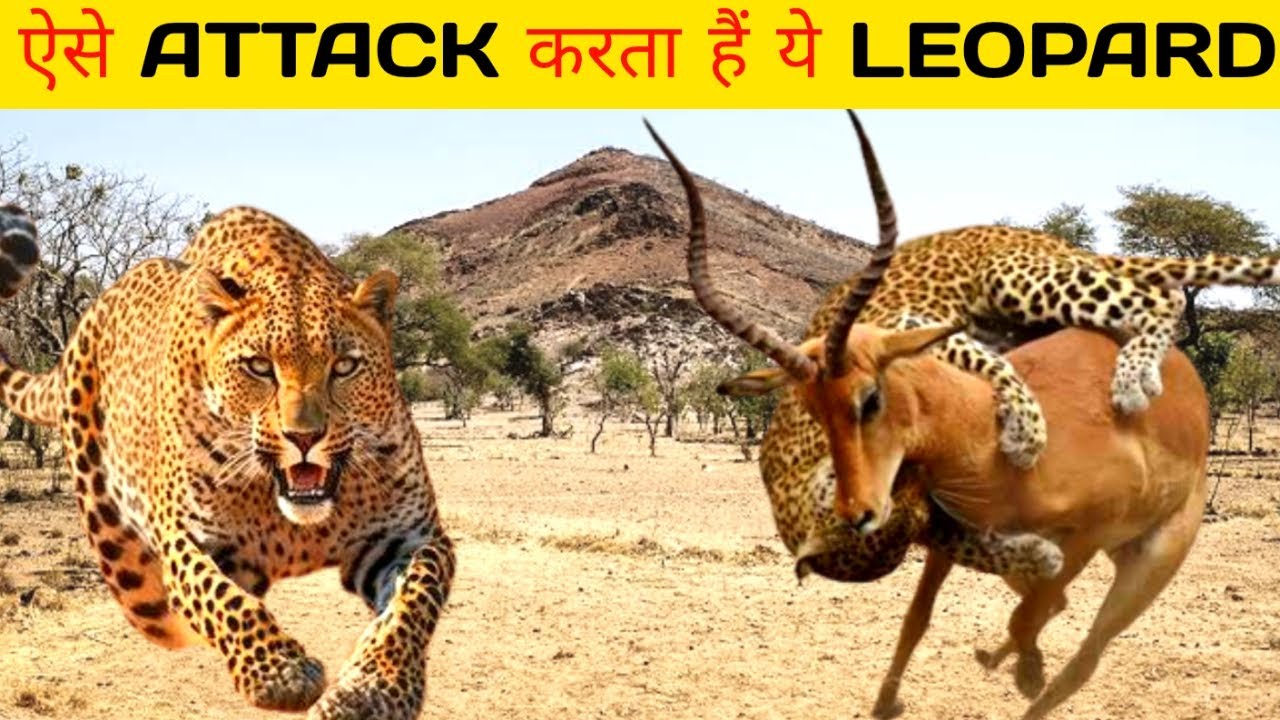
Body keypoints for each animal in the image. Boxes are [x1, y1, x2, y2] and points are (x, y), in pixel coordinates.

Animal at [0, 203, 454, 720]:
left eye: (344, 367)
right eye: (259, 367)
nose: (304, 436)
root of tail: (89, 318)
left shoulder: (413, 536)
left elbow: (414, 599)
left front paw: (373, 687)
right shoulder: (186, 540)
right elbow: (222, 599)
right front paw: (280, 673)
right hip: (128, 567)